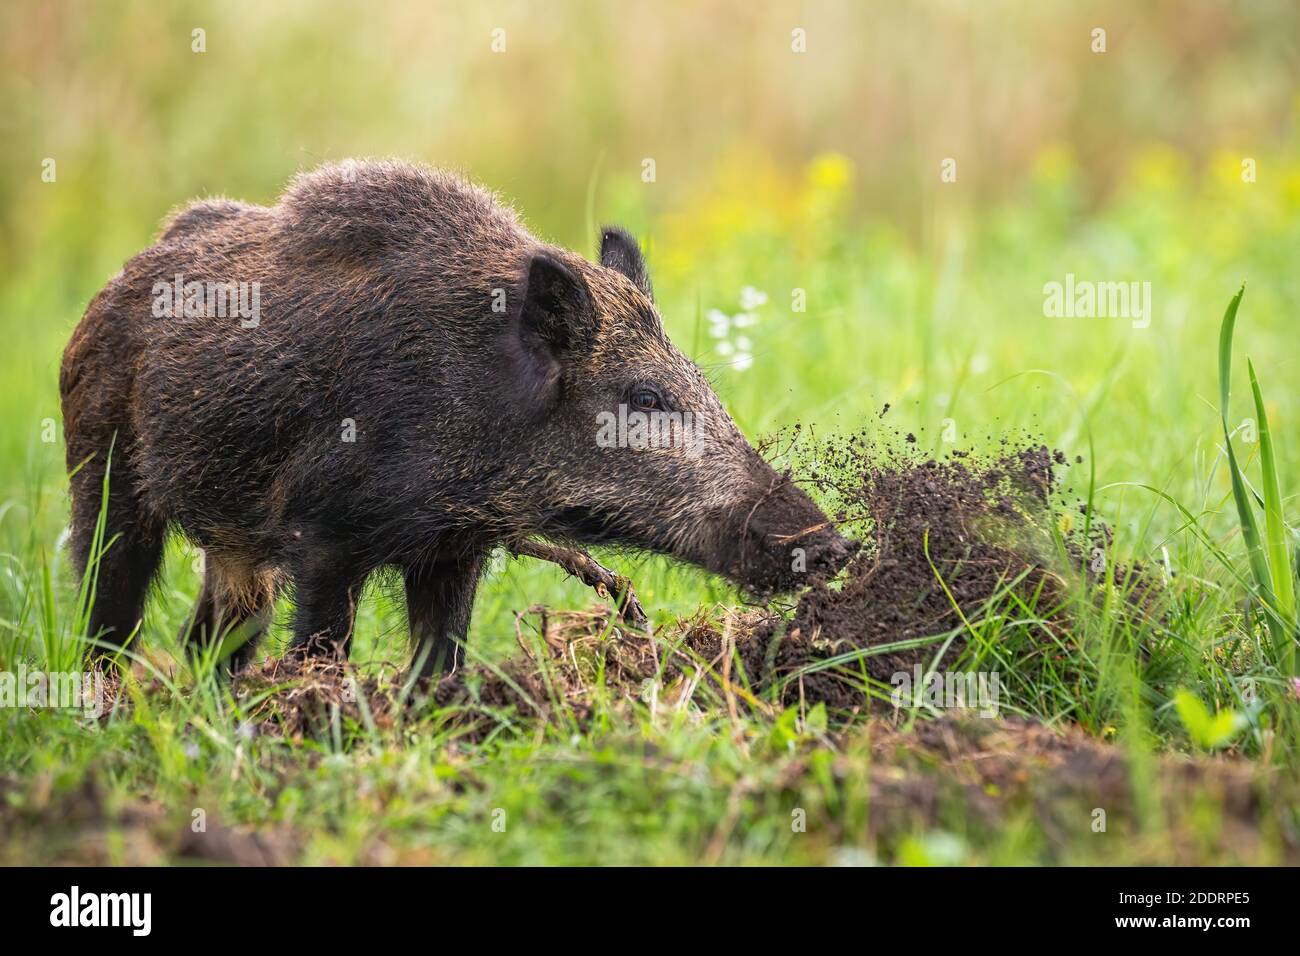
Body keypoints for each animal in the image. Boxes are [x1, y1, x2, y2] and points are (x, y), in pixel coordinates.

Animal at [60, 160, 851, 675]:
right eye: (646, 397)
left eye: (702, 384)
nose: (834, 544)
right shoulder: (322, 536)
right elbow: (321, 646)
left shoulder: (453, 549)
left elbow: (442, 660)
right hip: (100, 469)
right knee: (109, 605)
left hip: (234, 546)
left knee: (210, 635)